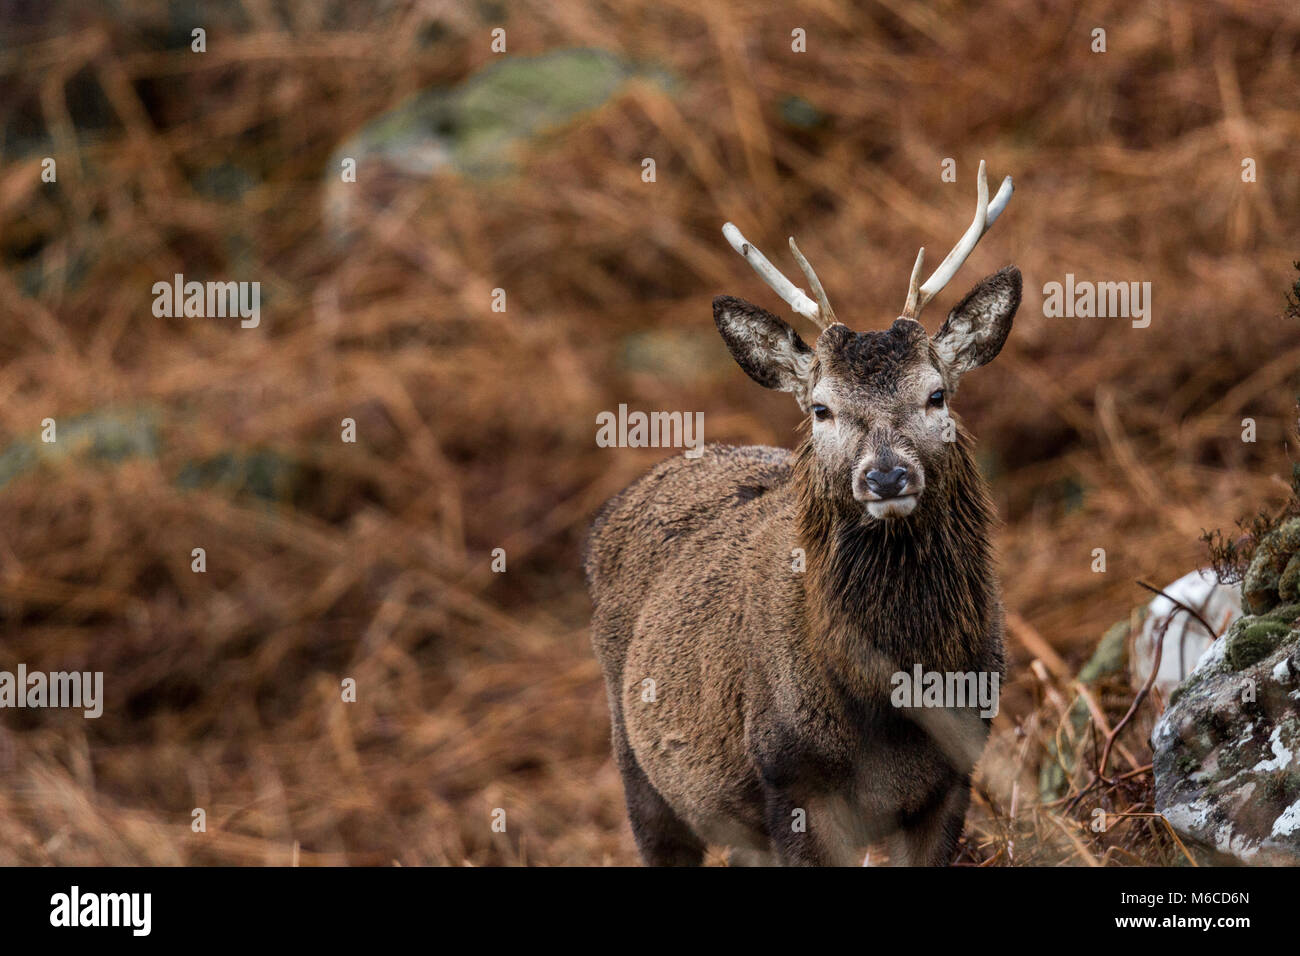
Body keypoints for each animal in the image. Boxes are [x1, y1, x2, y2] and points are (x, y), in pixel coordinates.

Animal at [585, 162, 1021, 866]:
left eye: (936, 395)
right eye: (821, 408)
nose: (886, 474)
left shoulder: (956, 773)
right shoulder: (790, 780)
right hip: (639, 766)